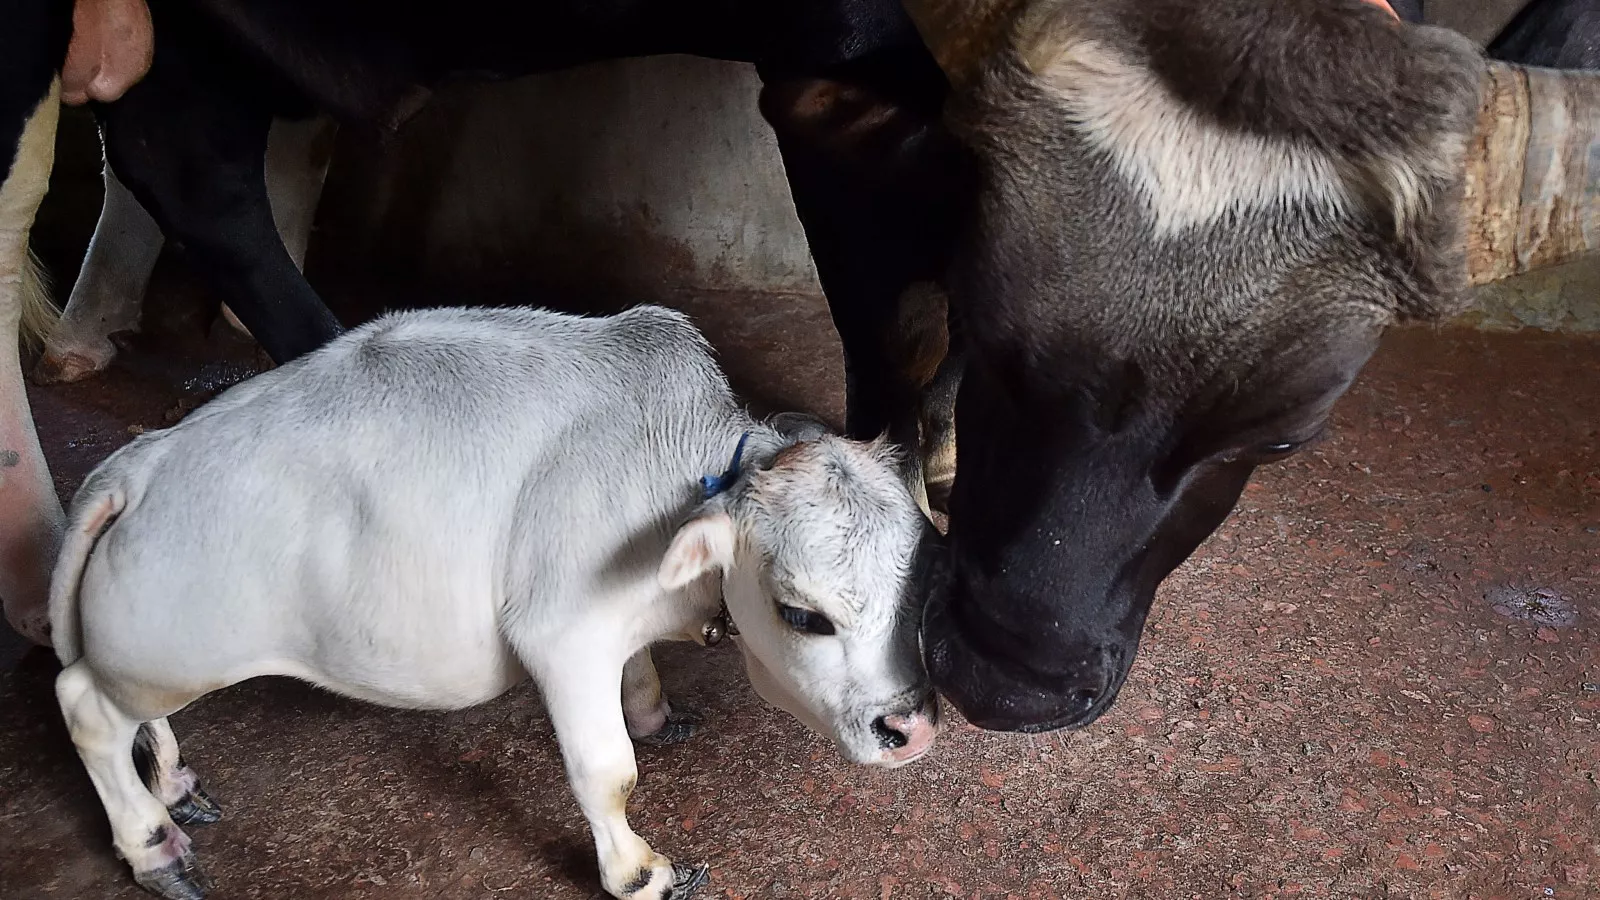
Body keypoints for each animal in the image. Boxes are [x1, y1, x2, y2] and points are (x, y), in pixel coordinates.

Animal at [8, 0, 1600, 734]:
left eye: (1278, 438)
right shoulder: (843, 103)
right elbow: (888, 335)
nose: (1014, 679)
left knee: (182, 150)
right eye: (1004, 326)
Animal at [49, 303, 938, 900]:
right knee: (85, 705)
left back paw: (171, 782)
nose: (914, 728)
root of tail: (139, 462)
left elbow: (640, 678)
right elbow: (607, 772)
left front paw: (655, 712)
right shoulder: (562, 633)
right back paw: (153, 846)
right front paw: (639, 872)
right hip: (172, 651)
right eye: (803, 615)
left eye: (918, 587)